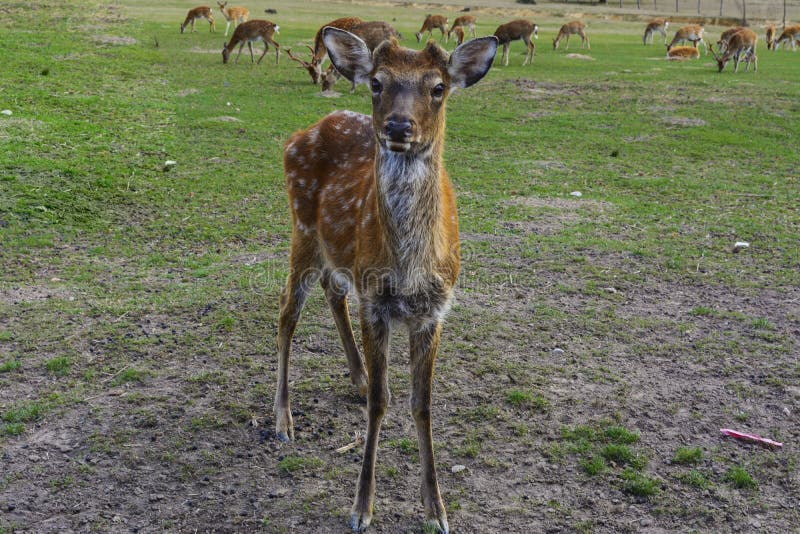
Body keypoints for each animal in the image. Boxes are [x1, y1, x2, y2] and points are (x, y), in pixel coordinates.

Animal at [275, 27, 498, 533]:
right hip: (302, 229)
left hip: (336, 252)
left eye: (438, 87)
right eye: (377, 83)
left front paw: (437, 510)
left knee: (332, 291)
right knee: (286, 315)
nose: (398, 126)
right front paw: (362, 507)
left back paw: (356, 376)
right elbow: (381, 403)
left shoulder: (435, 309)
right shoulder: (376, 302)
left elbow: (422, 403)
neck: (410, 267)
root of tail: (301, 133)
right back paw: (283, 419)